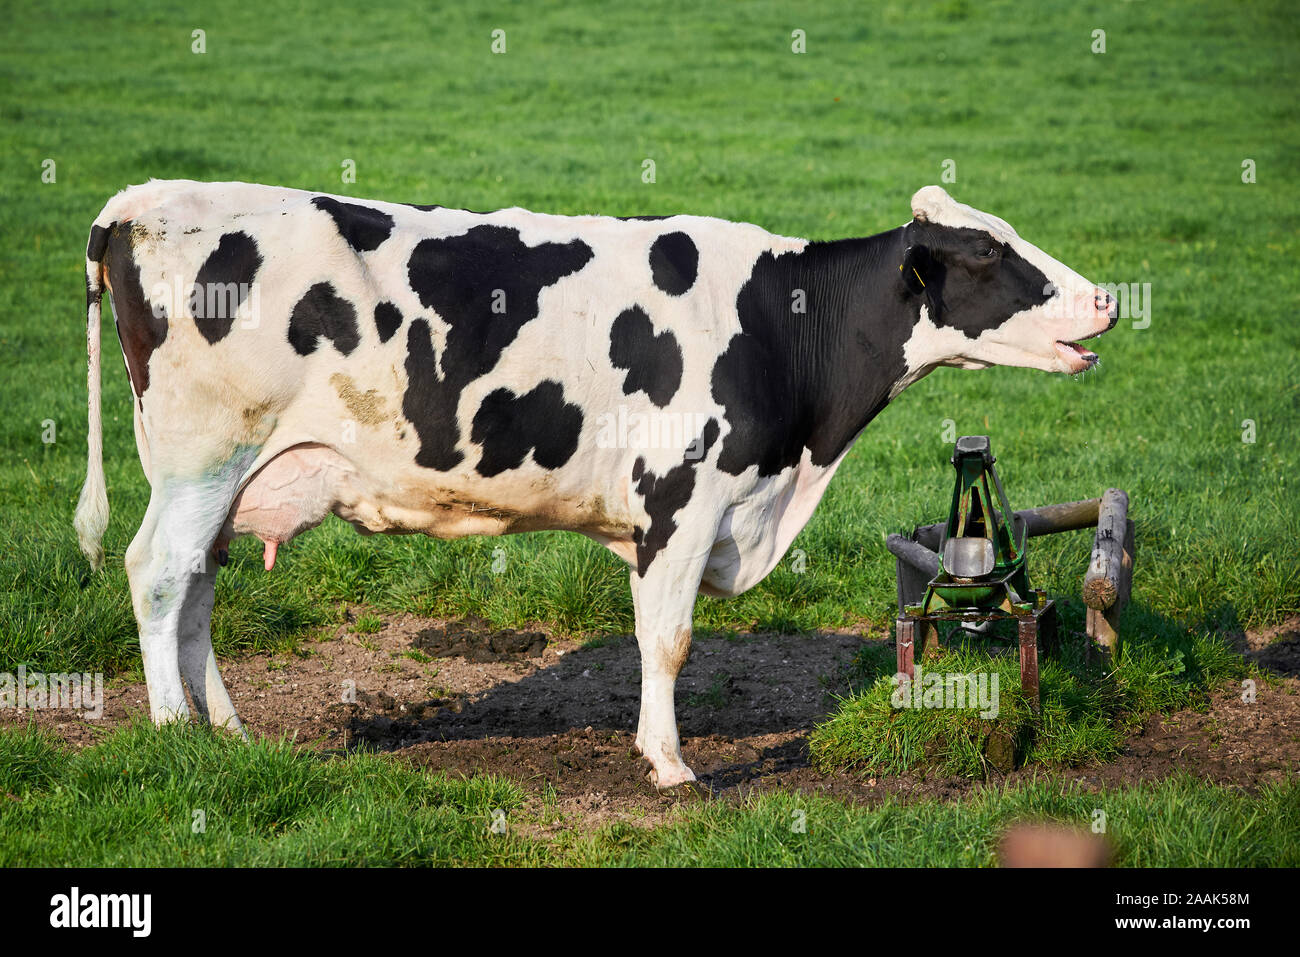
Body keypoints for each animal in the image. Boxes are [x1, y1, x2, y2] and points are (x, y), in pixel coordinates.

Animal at [75, 180, 1116, 787]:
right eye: (990, 255)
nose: (1107, 297)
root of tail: (145, 200)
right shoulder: (681, 500)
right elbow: (668, 639)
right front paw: (670, 763)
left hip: (227, 473)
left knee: (197, 586)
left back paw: (229, 730)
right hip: (203, 457)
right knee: (157, 573)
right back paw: (173, 729)